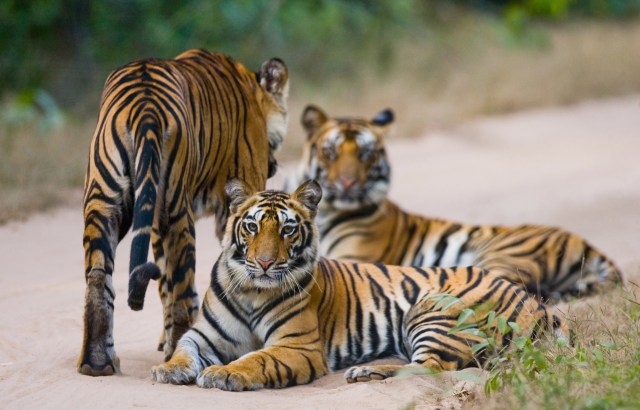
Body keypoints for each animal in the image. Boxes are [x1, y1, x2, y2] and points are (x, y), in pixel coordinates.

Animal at [78, 49, 289, 377]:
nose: (274, 165)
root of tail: (145, 106)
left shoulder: (153, 223)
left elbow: (163, 283)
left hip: (104, 201)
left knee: (99, 278)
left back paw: (97, 362)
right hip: (176, 211)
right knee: (180, 283)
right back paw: (178, 349)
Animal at [150, 179, 569, 391]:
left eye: (287, 229)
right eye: (252, 226)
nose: (265, 263)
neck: (252, 289)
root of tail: (533, 300)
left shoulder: (297, 347)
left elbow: (256, 357)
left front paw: (225, 373)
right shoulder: (203, 336)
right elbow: (184, 350)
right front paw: (169, 370)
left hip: (431, 311)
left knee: (434, 367)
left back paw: (364, 373)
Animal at [286, 104, 622, 302]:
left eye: (365, 154)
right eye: (330, 152)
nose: (347, 183)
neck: (327, 211)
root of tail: (586, 242)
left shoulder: (353, 259)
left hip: (505, 256)